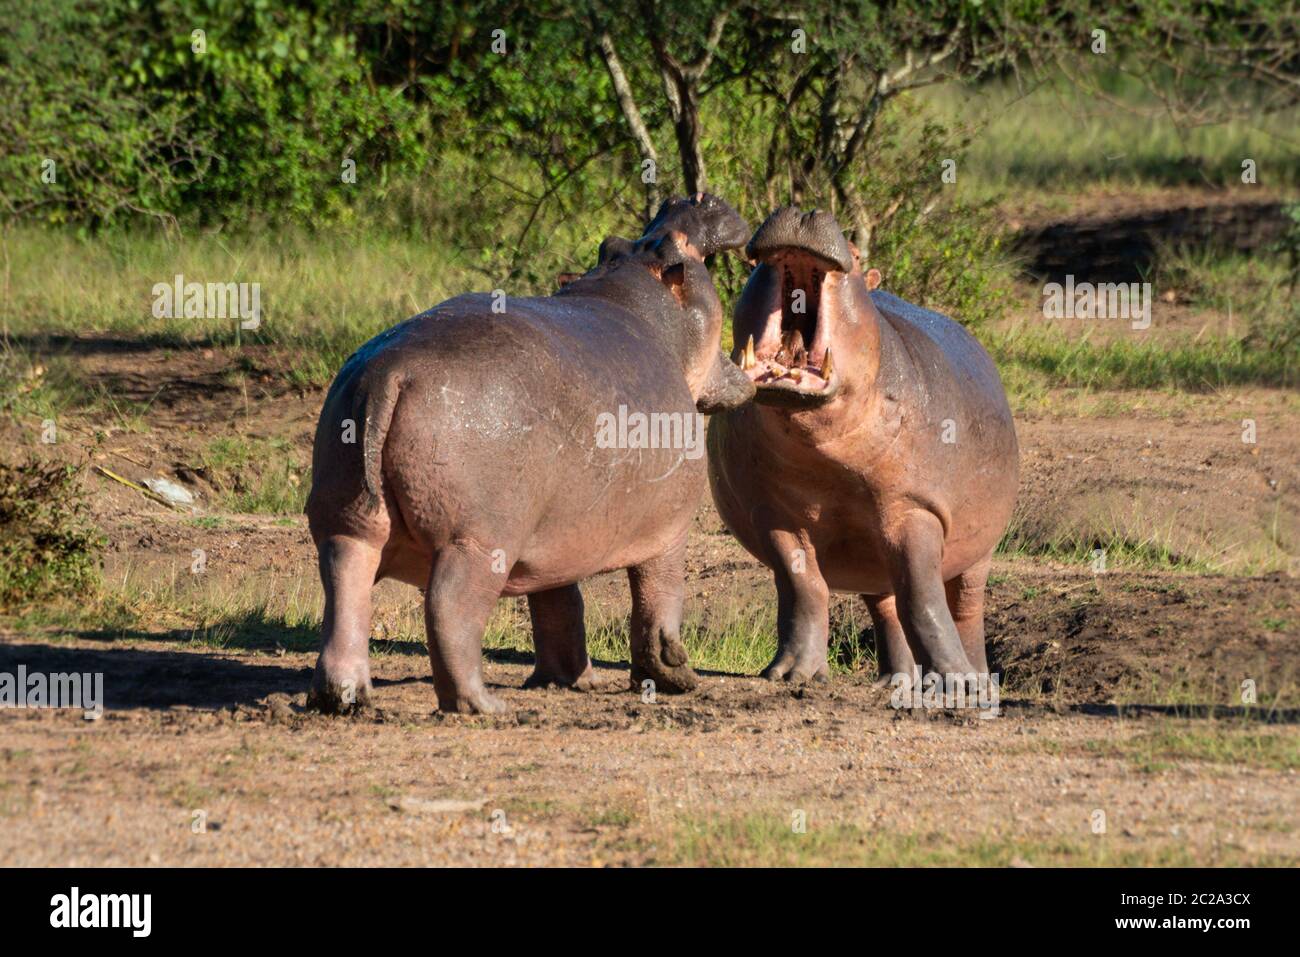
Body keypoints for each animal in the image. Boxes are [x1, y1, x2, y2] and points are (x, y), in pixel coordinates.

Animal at [306, 194, 754, 714]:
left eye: (614, 242)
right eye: (678, 243)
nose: (688, 197)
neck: (637, 294)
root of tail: (389, 372)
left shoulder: (557, 537)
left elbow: (560, 605)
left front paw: (572, 681)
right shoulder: (669, 527)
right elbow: (657, 601)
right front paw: (676, 676)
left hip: (347, 522)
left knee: (344, 588)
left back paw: (344, 697)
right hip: (477, 541)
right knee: (448, 608)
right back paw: (483, 706)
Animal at [707, 207, 1019, 685]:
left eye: (855, 254)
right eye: (754, 268)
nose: (803, 210)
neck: (821, 447)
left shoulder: (914, 508)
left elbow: (924, 598)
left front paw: (953, 680)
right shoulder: (773, 514)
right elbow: (805, 588)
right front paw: (793, 674)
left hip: (978, 551)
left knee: (965, 608)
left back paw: (977, 678)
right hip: (871, 561)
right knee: (886, 607)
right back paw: (896, 680)